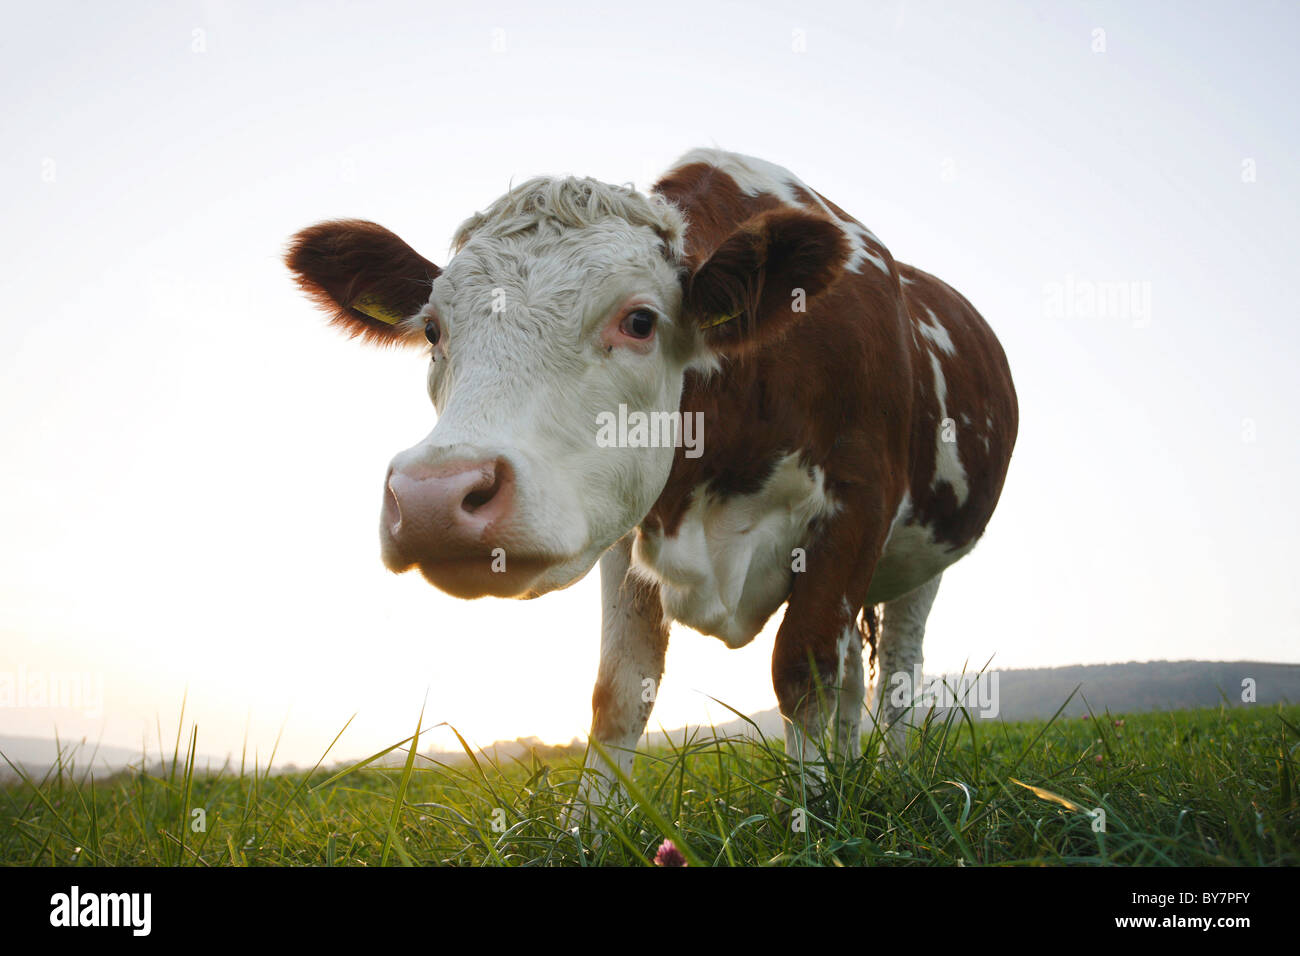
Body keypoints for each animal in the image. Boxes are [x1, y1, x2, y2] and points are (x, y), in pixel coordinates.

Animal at [285, 148, 1018, 816]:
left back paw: (893, 775)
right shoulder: (626, 531)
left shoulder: (856, 506)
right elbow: (619, 687)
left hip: (923, 559)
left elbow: (802, 668)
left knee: (896, 670)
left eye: (640, 320)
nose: (433, 497)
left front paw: (812, 819)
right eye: (434, 330)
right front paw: (588, 827)